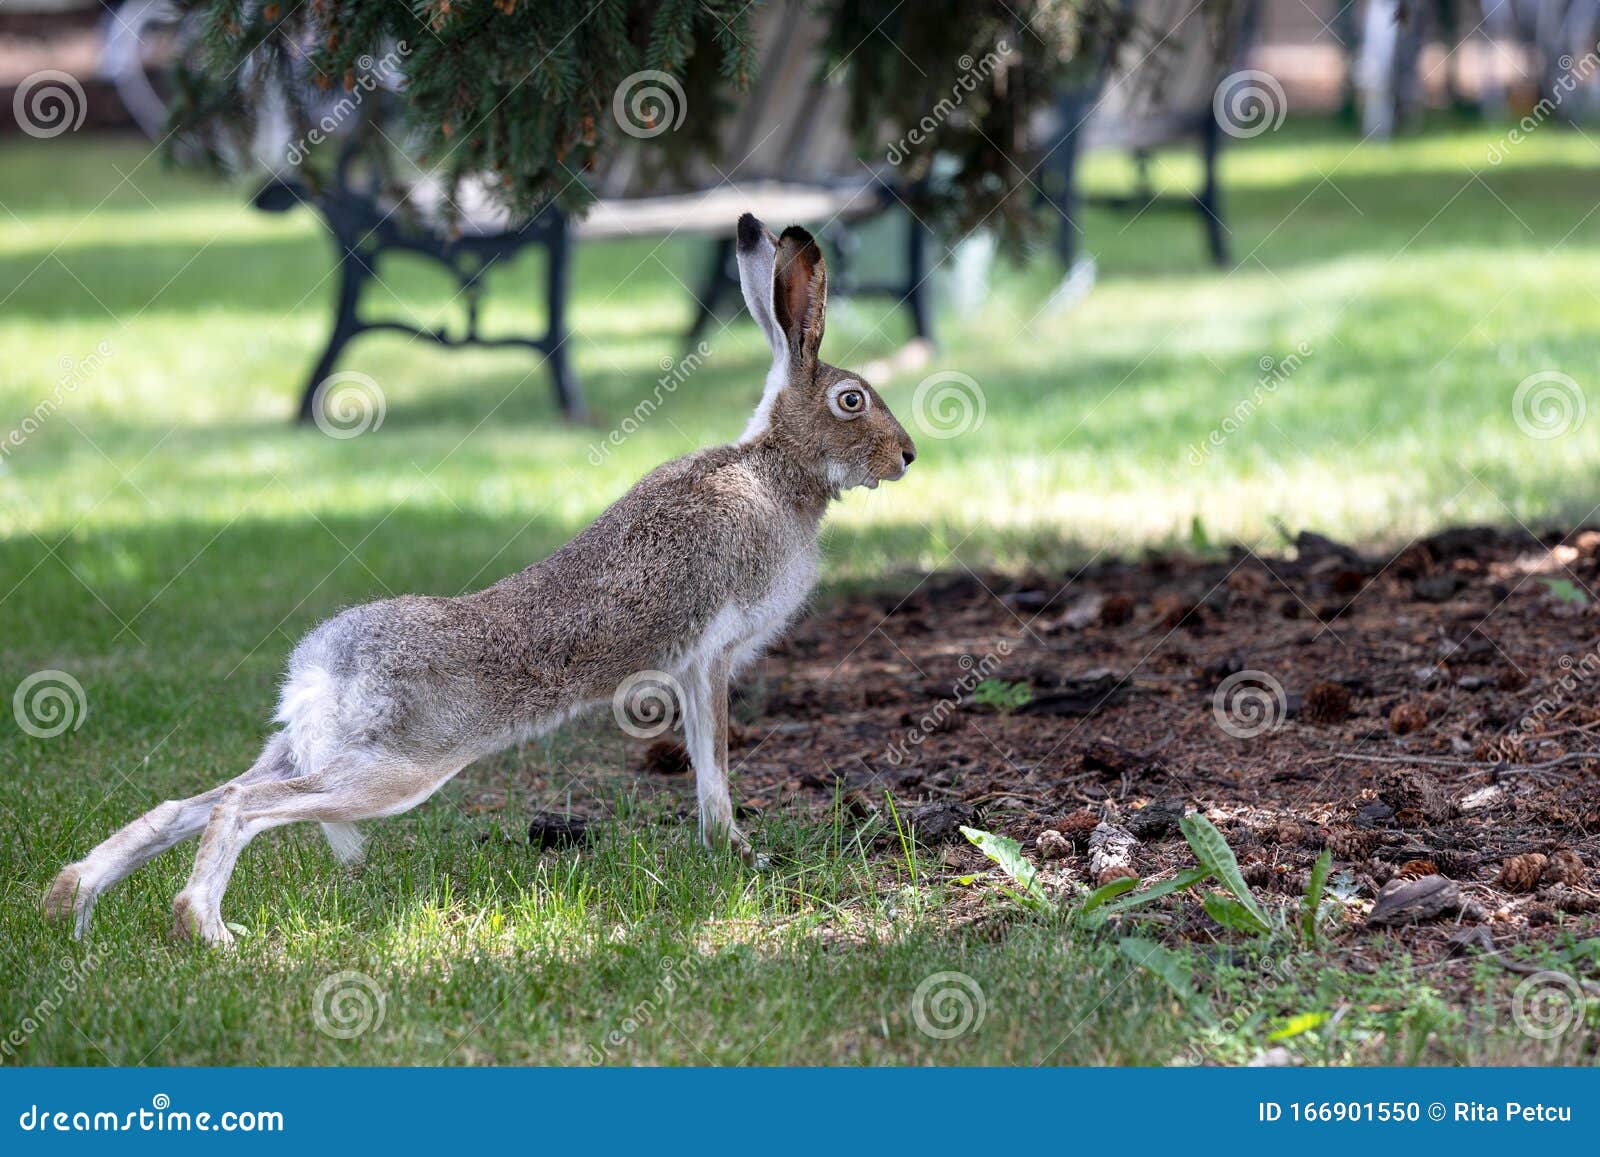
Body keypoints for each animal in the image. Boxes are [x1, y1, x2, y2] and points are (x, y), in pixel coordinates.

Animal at [44, 213, 917, 946]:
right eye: (852, 400)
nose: (907, 455)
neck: (776, 466)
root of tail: (322, 666)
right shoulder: (708, 659)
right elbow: (715, 765)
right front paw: (739, 853)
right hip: (397, 768)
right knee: (239, 806)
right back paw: (206, 928)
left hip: (303, 750)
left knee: (184, 805)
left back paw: (72, 905)